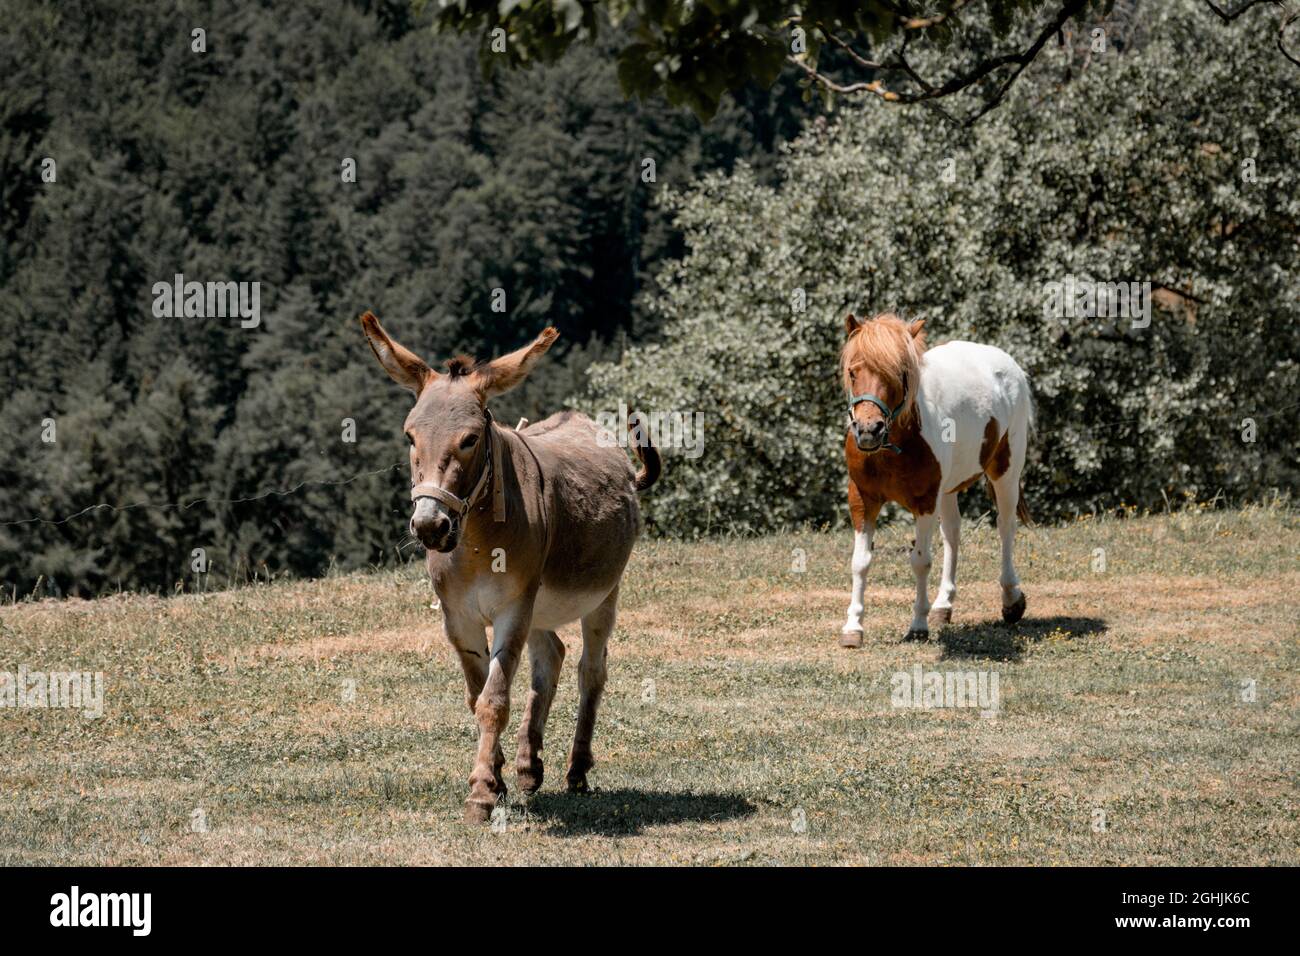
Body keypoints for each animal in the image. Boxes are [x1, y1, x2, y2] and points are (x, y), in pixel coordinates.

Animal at [360, 311, 660, 822]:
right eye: (409, 436)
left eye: (469, 439)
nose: (430, 527)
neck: (477, 543)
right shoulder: (458, 618)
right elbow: (475, 696)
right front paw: (497, 776)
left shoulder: (513, 608)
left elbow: (494, 699)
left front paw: (481, 792)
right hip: (541, 604)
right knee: (551, 656)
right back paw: (527, 765)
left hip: (601, 594)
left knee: (590, 669)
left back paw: (576, 770)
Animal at [838, 312, 1032, 647]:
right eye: (853, 372)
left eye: (900, 373)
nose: (868, 429)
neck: (895, 444)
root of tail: (1007, 364)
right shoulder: (863, 500)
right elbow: (860, 562)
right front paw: (853, 627)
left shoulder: (925, 502)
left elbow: (920, 561)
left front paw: (918, 624)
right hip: (949, 490)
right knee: (952, 534)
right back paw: (943, 605)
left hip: (1005, 473)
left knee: (1005, 527)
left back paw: (1011, 600)